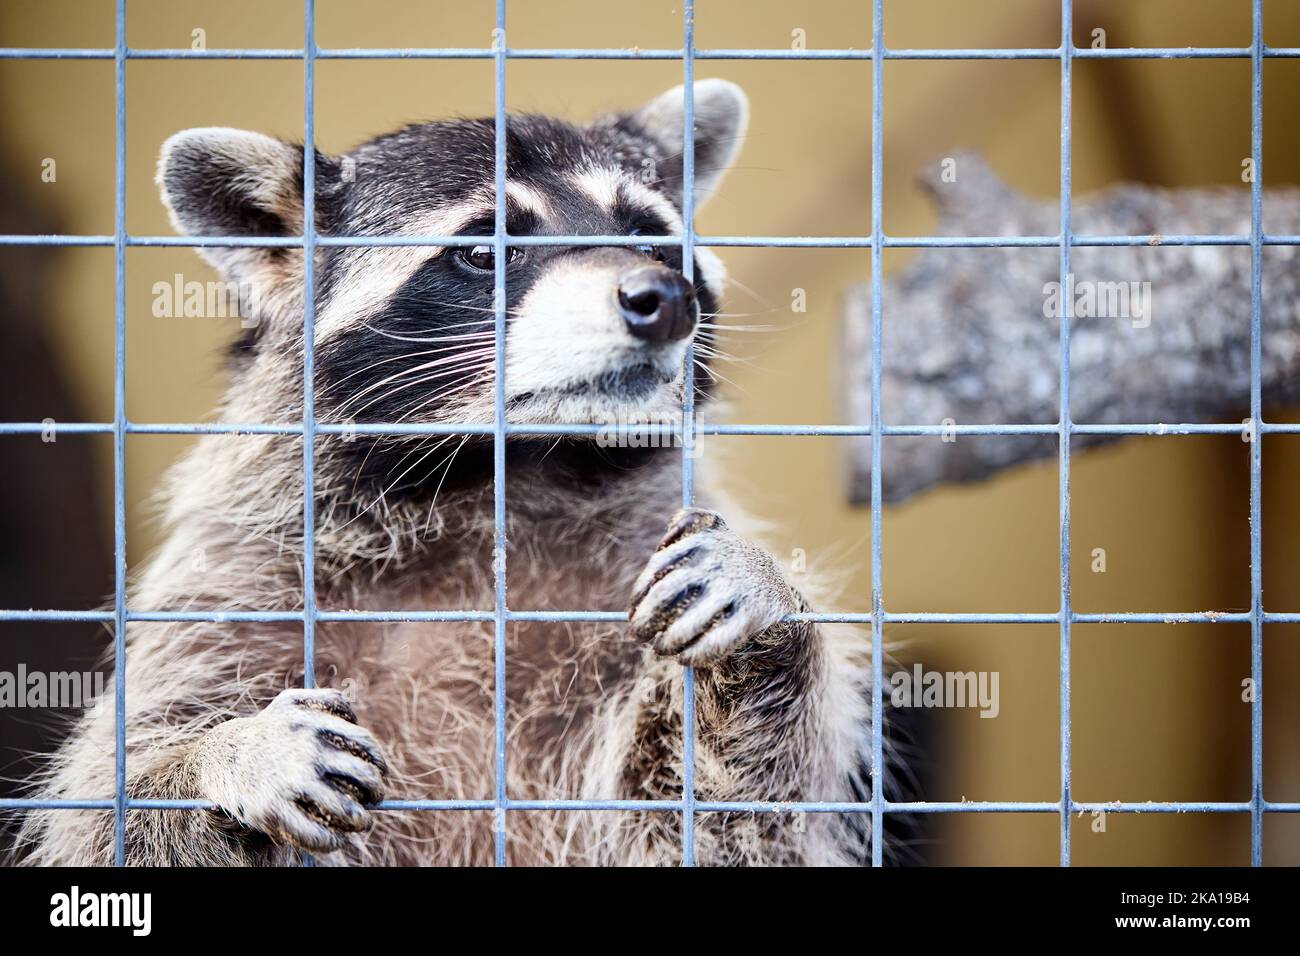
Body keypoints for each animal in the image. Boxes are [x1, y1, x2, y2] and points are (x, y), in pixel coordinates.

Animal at [18, 81, 897, 866]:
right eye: (484, 251)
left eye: (652, 237)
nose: (665, 297)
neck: (504, 477)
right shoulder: (230, 589)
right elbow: (105, 813)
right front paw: (228, 753)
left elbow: (720, 826)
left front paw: (764, 602)